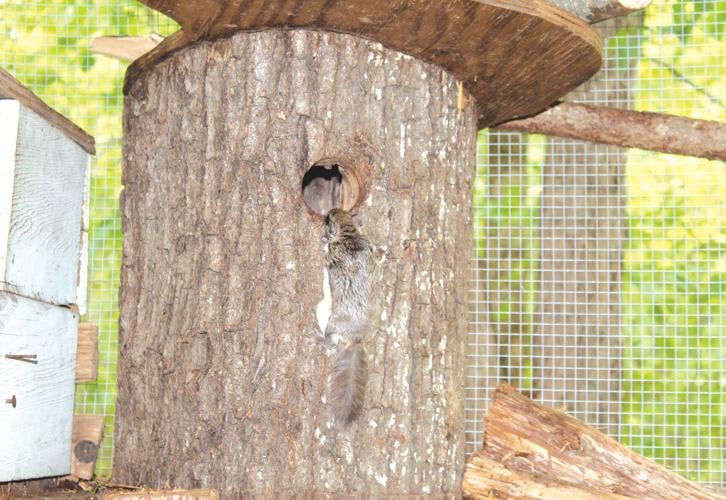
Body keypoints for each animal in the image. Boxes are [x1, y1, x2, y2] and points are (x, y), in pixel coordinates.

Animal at [315, 208, 372, 423]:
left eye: (329, 220)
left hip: (328, 317)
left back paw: (321, 339)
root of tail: (356, 338)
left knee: (332, 341)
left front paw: (323, 240)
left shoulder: (333, 252)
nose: (330, 211)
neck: (349, 234)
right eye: (342, 212)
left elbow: (325, 254)